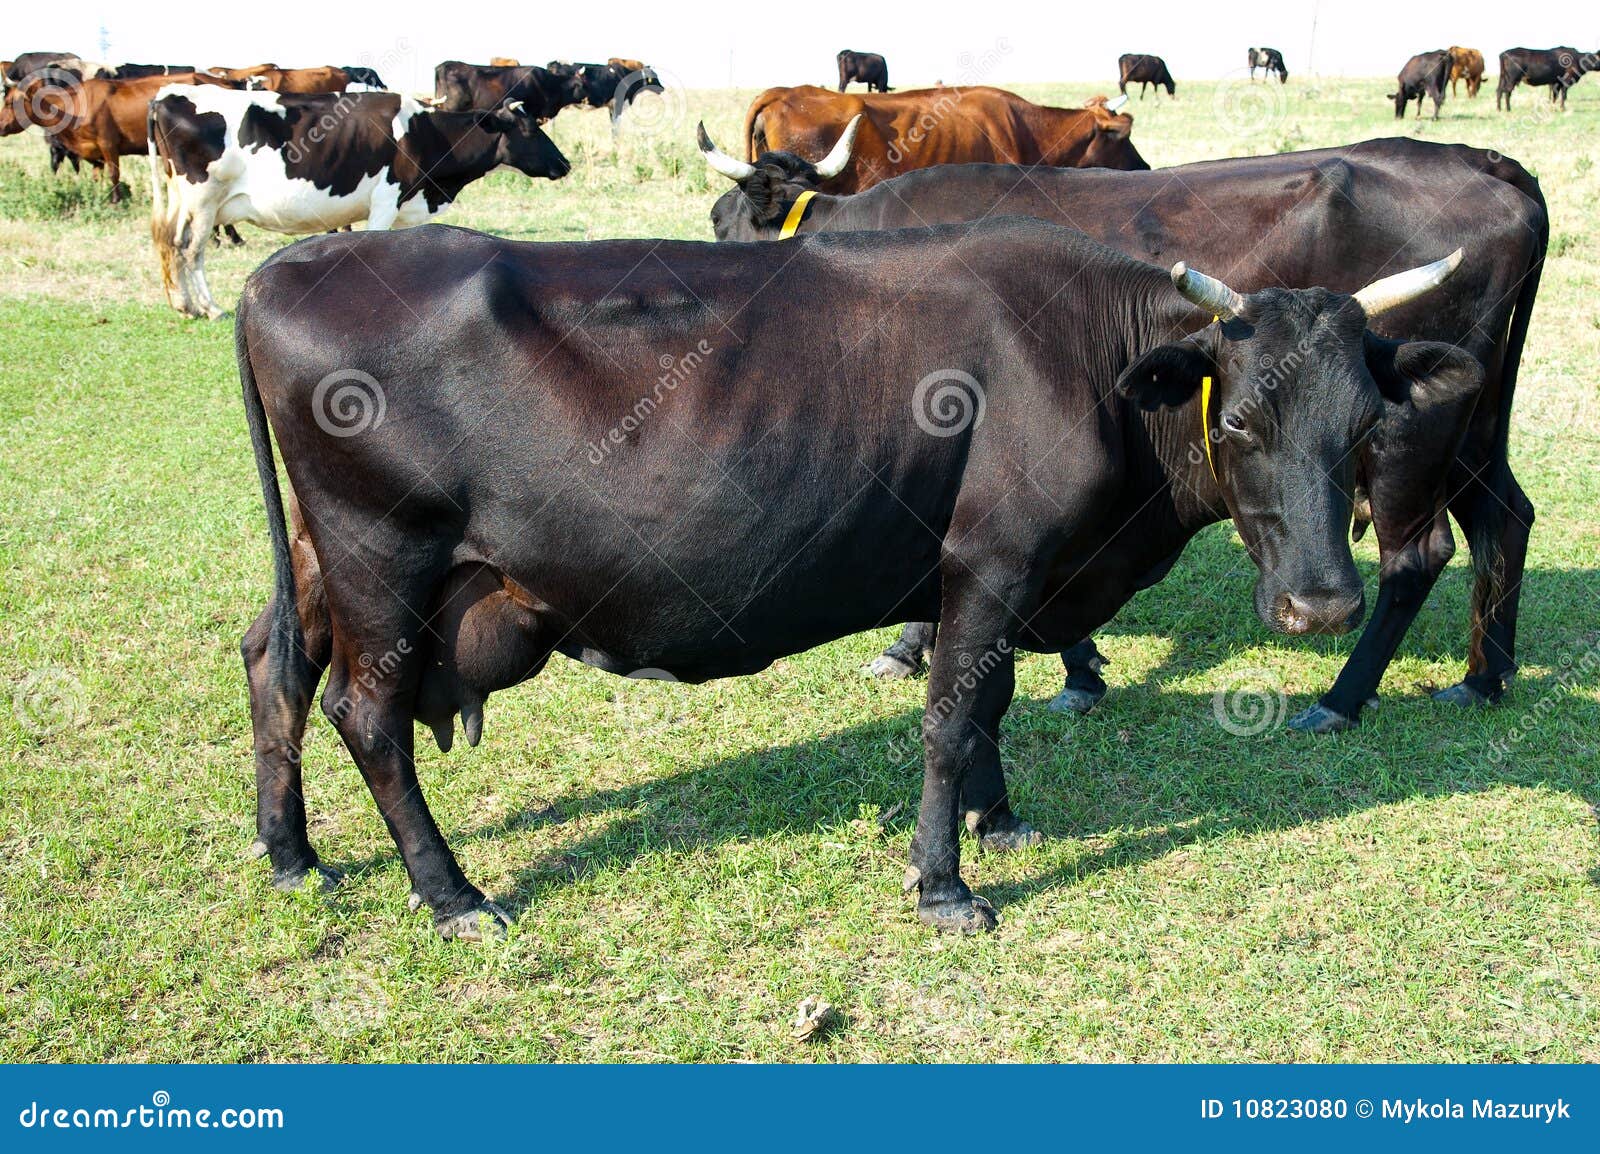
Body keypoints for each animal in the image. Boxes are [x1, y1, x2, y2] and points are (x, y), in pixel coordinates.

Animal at [0, 69, 237, 198]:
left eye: (10, 101)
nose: (0, 125)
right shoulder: (94, 151)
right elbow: (97, 176)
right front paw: (100, 196)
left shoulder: (108, 144)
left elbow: (114, 174)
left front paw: (116, 200)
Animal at [147, 86, 569, 319]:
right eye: (530, 128)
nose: (564, 163)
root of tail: (166, 96)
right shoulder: (385, 199)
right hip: (204, 196)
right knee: (191, 250)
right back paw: (210, 307)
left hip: (181, 198)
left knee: (171, 242)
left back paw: (183, 304)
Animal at [234, 216, 1474, 939]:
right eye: (1246, 418)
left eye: (1364, 425)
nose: (1322, 603)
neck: (1086, 356)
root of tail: (285, 265)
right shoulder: (992, 557)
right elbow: (948, 716)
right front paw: (944, 883)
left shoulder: (982, 574)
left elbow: (989, 702)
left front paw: (997, 818)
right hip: (384, 553)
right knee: (365, 713)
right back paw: (453, 895)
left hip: (331, 557)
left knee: (272, 664)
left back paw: (292, 853)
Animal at [699, 133, 1546, 732]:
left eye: (719, 218)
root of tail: (1487, 163)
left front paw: (926, 648)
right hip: (1473, 418)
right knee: (1505, 513)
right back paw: (1484, 677)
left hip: (1411, 437)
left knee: (1418, 555)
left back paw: (1342, 698)